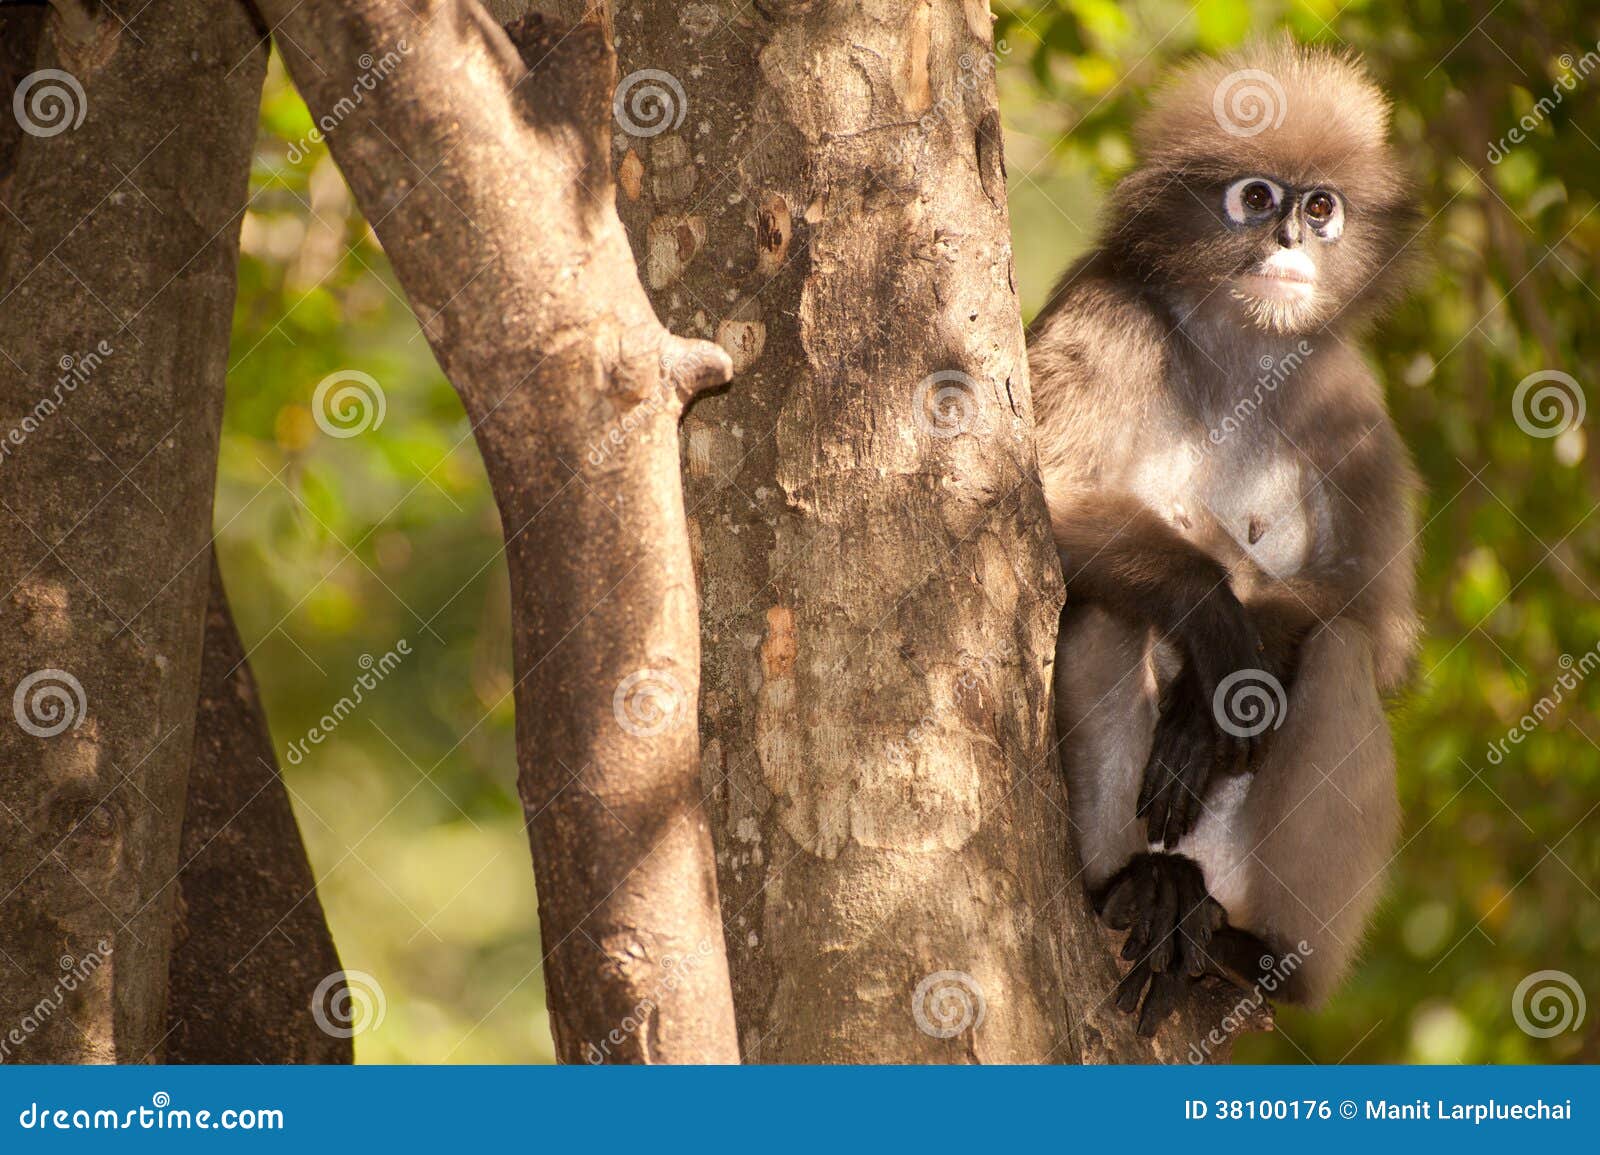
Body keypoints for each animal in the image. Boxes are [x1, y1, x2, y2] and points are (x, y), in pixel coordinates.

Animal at [1027, 41, 1422, 1035]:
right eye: (1255, 197)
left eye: (1320, 207)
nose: (1289, 242)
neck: (1235, 349)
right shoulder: (1106, 314)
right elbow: (1045, 494)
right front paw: (1210, 620)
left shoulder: (1346, 396)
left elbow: (1375, 614)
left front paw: (1214, 704)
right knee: (1111, 610)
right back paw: (1133, 887)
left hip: (1242, 867)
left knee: (1338, 651)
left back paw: (1254, 954)